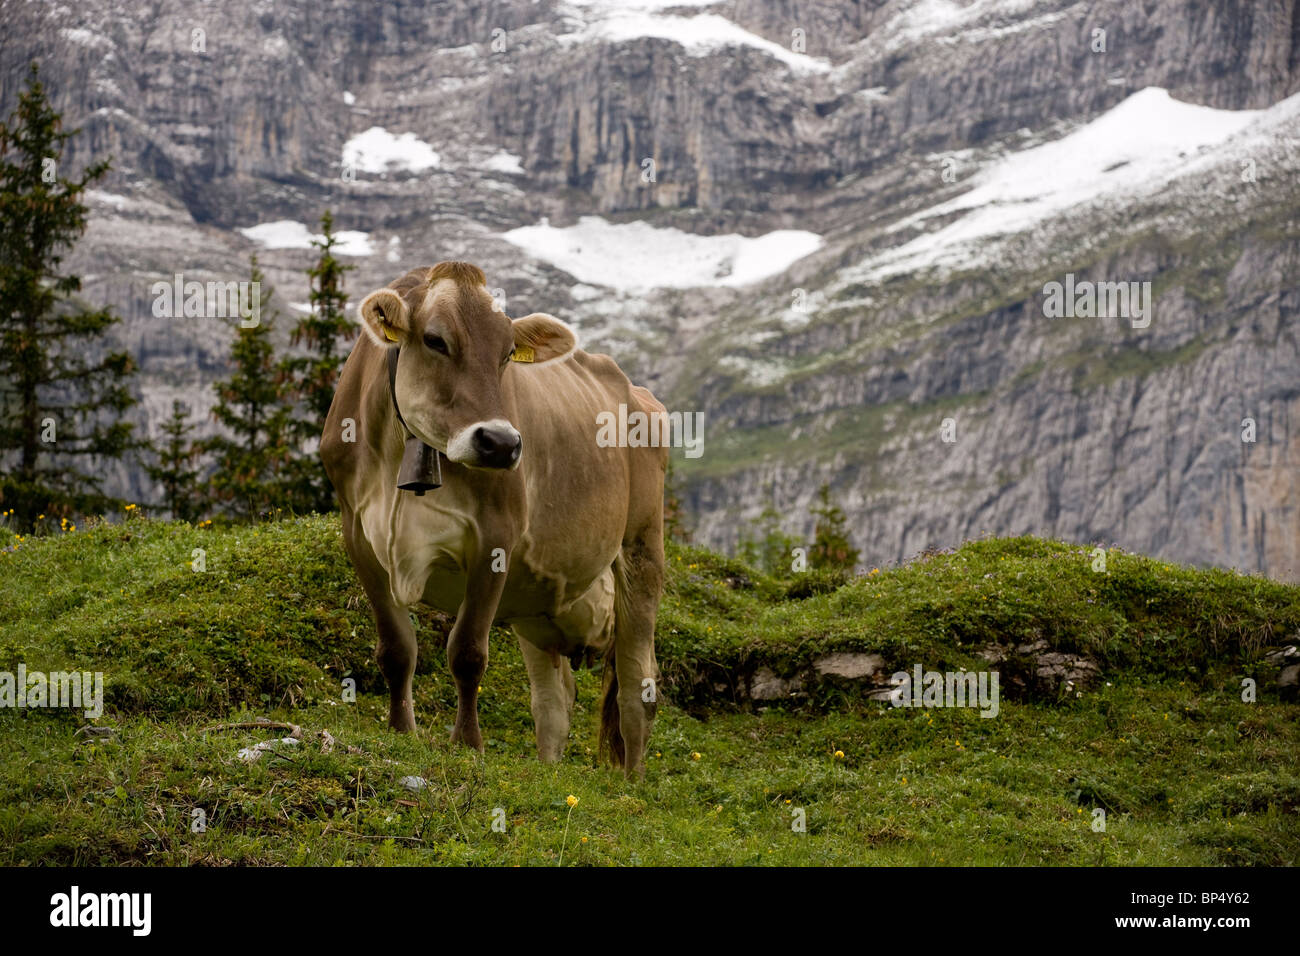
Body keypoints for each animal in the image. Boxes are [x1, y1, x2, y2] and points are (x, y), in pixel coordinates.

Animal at [320, 261, 666, 777]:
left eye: (507, 355)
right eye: (435, 340)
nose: (501, 444)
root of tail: (636, 390)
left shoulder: (495, 537)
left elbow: (467, 652)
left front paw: (467, 744)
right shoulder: (359, 534)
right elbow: (396, 649)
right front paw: (401, 731)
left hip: (641, 548)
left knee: (636, 685)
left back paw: (633, 783)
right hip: (537, 606)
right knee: (553, 701)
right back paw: (548, 771)